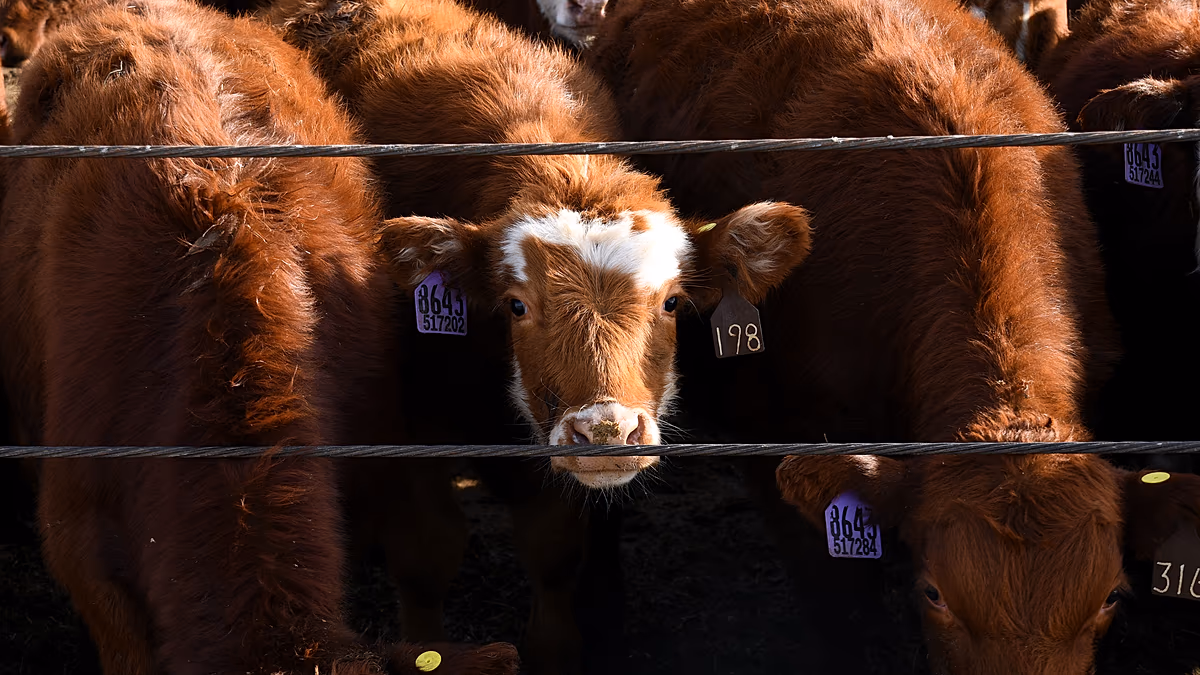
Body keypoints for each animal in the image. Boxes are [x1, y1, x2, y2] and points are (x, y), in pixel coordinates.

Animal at [265, 0, 813, 671]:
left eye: (672, 301)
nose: (607, 432)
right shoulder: (404, 425)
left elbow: (553, 551)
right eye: (517, 305)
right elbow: (425, 555)